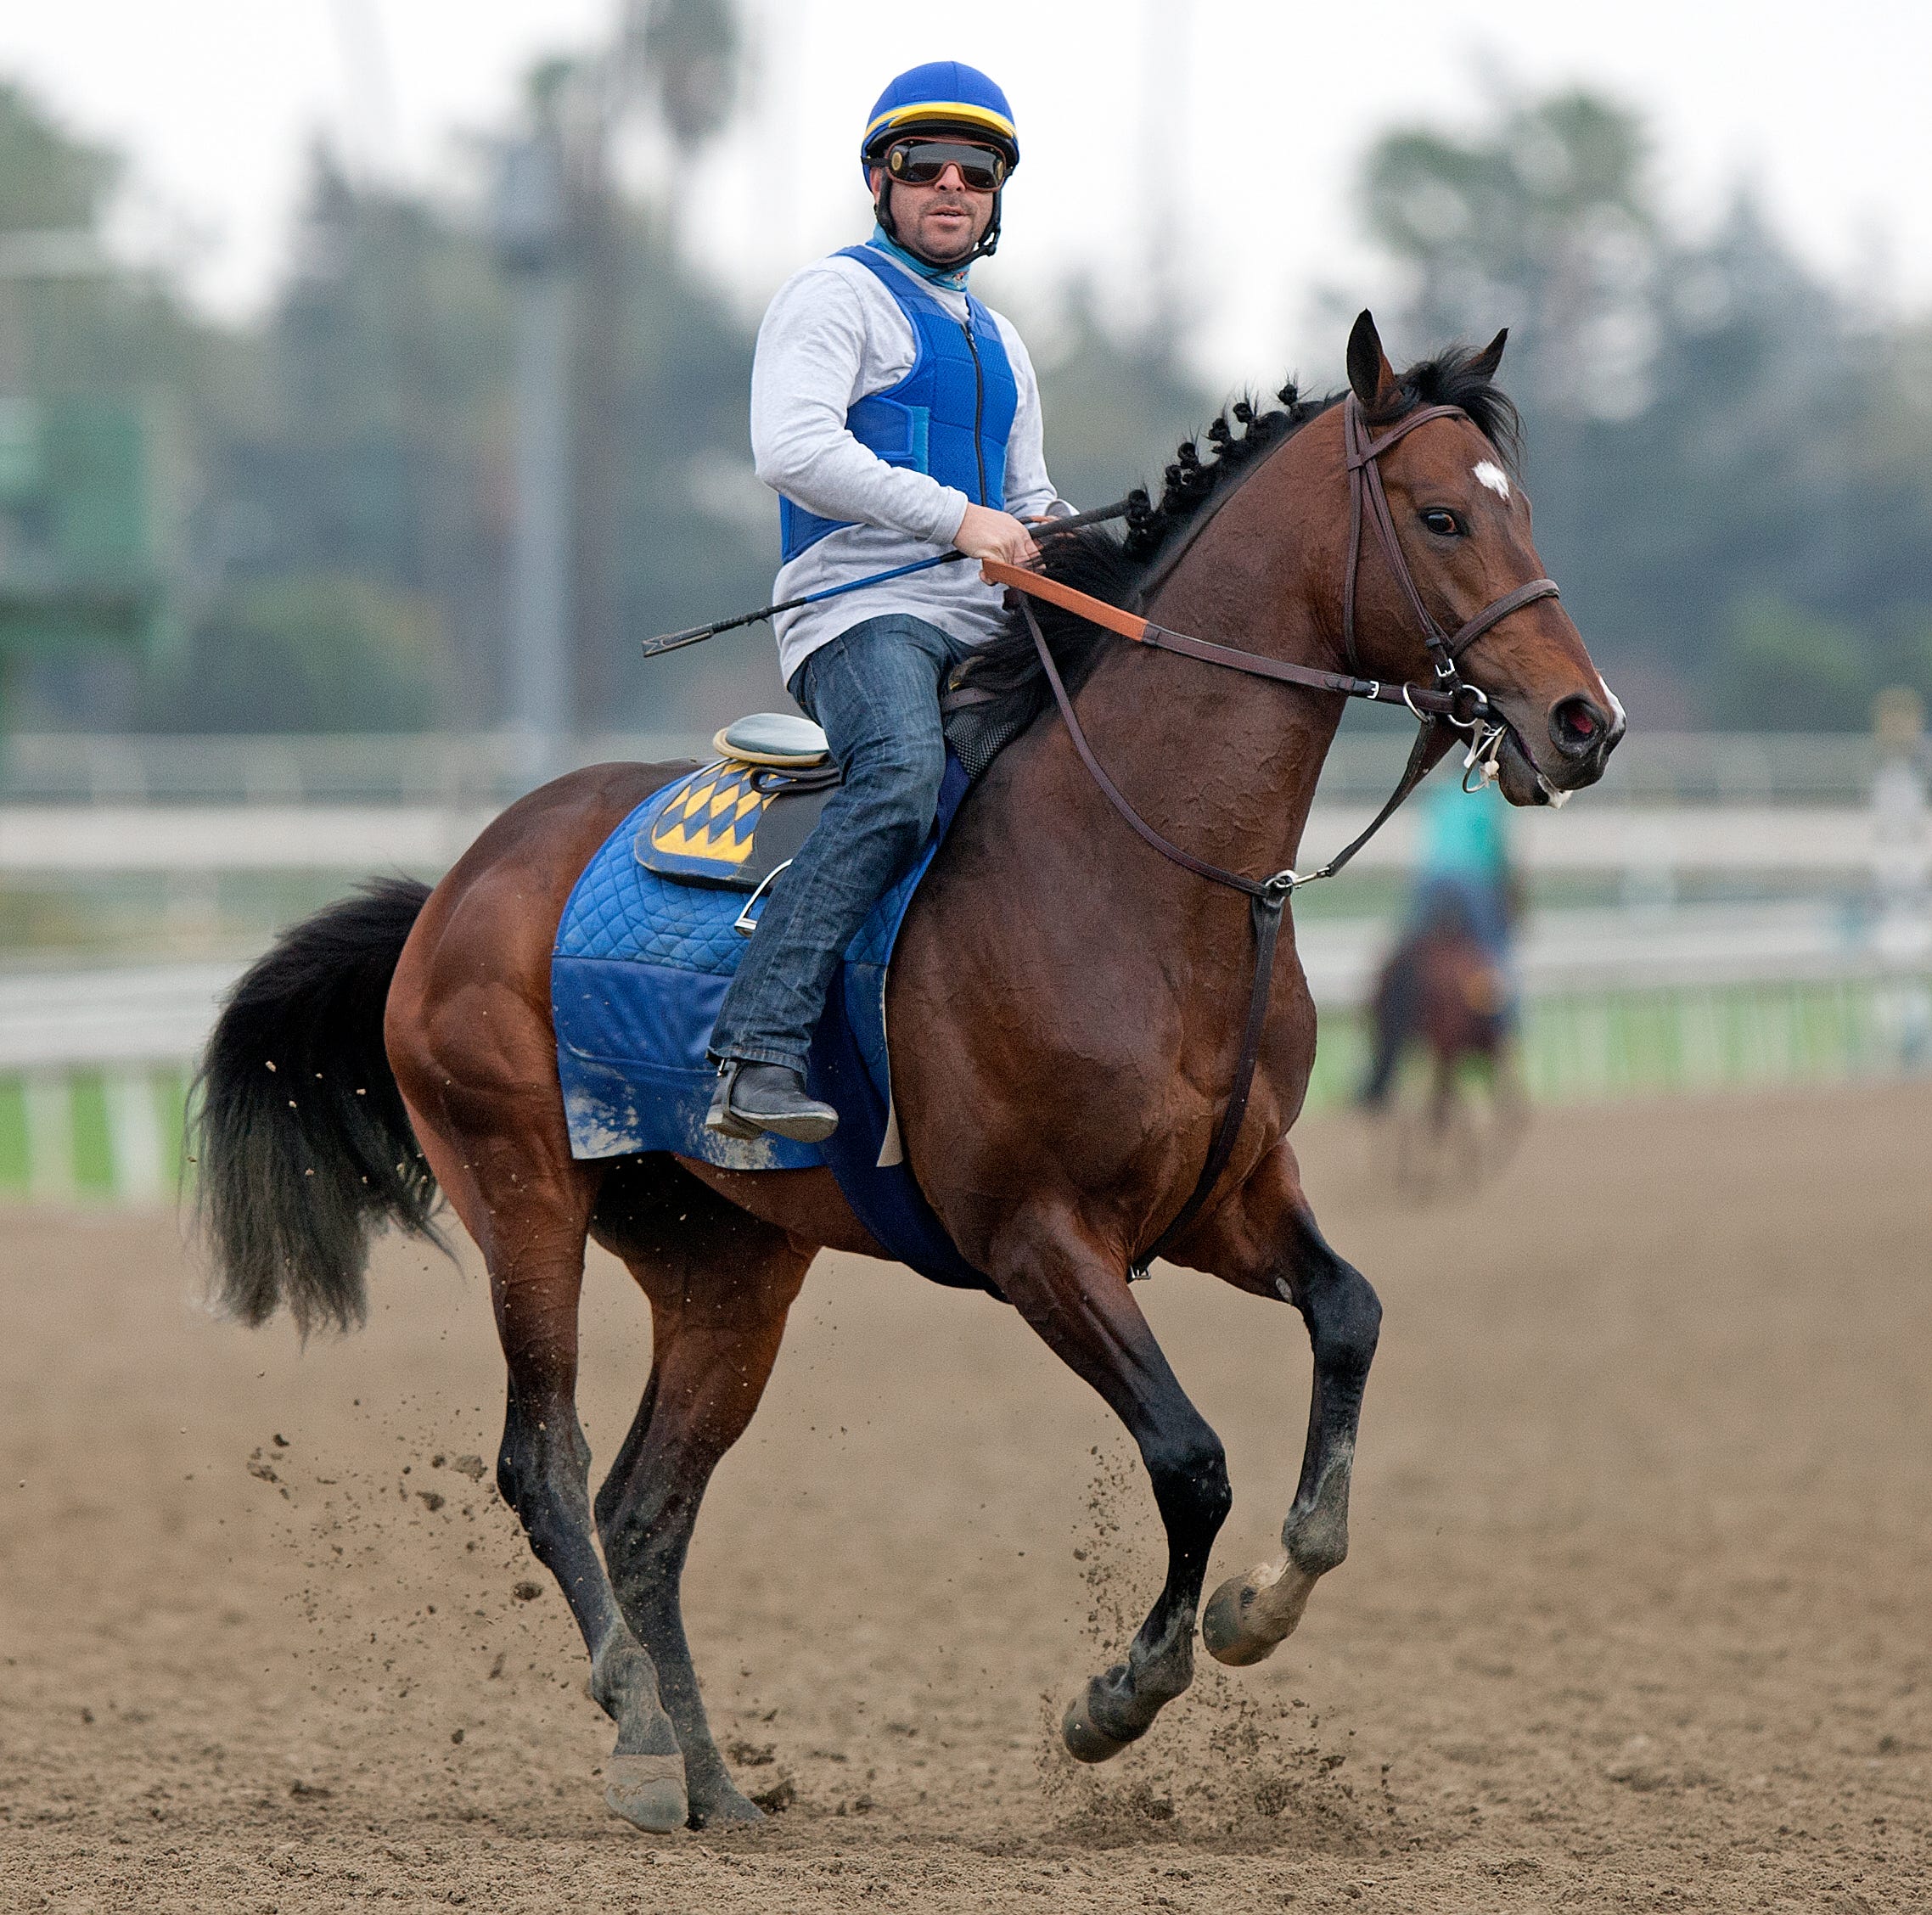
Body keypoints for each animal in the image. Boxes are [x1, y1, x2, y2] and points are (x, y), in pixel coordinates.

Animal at [193, 312, 1622, 1833]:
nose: (1586, 722)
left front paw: (1266, 1600)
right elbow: (1189, 1457)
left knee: (647, 1509)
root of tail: (457, 885)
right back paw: (638, 1733)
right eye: (1440, 515)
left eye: (1522, 505)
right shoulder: (1036, 1235)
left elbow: (1351, 1317)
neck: (1142, 869)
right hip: (525, 1191)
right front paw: (1119, 1696)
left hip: (729, 1261)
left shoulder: (1227, 1194)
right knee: (544, 1464)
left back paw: (713, 1780)